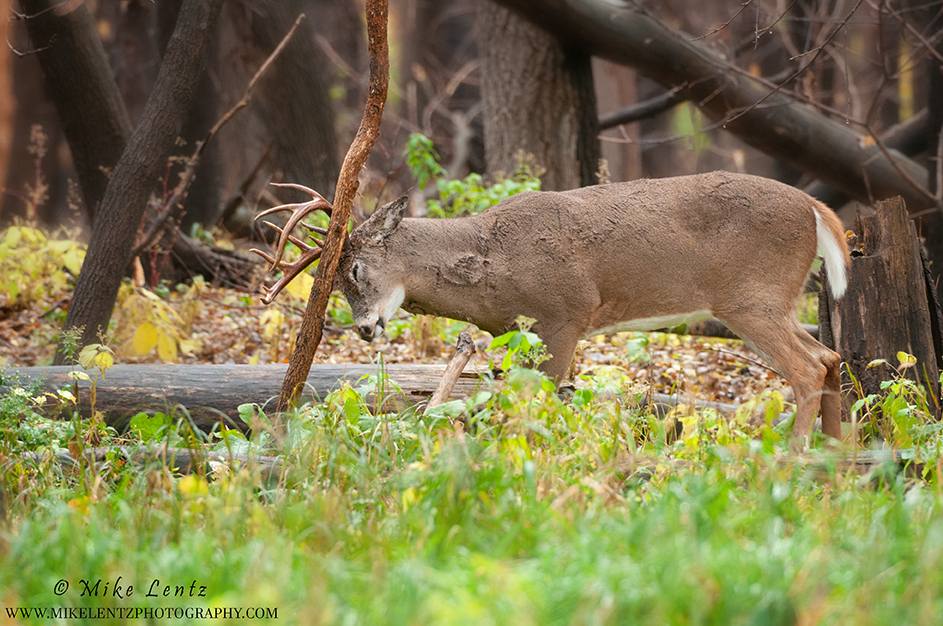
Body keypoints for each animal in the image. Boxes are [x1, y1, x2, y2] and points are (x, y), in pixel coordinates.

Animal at [253, 171, 850, 453]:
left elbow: (541, 404)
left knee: (807, 367)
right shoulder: (520, 332)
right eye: (331, 282)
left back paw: (794, 454)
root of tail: (815, 208)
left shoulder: (565, 315)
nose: (365, 328)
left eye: (354, 271)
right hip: (774, 301)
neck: (493, 264)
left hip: (749, 297)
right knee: (830, 355)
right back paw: (837, 450)